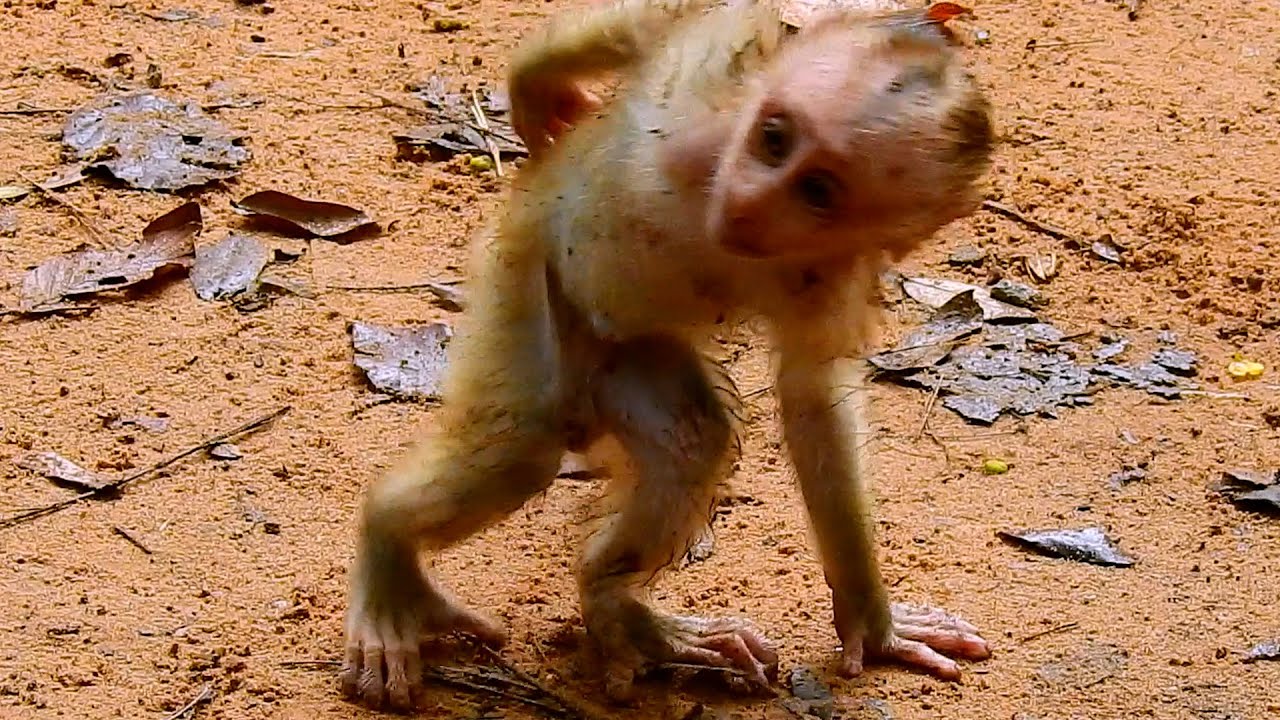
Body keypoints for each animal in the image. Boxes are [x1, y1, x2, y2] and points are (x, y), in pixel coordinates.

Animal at [341, 0, 996, 710]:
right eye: (774, 138)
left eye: (818, 190)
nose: (747, 200)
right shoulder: (708, 78)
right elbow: (659, 29)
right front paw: (537, 90)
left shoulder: (833, 271)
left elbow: (813, 395)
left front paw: (873, 624)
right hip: (523, 276)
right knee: (519, 451)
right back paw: (388, 545)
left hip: (623, 358)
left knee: (688, 441)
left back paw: (620, 606)